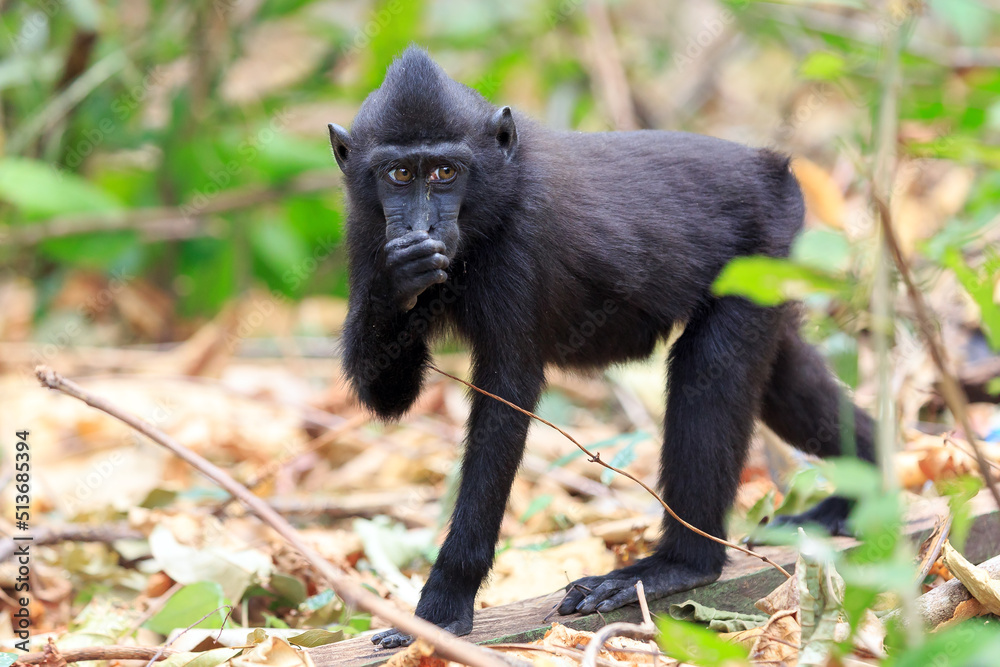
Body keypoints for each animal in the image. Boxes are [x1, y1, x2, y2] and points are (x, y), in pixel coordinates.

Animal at [327, 47, 875, 649]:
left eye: (446, 172)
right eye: (400, 174)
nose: (423, 227)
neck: (496, 193)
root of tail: (769, 166)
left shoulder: (525, 237)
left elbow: (507, 394)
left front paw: (443, 604)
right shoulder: (365, 231)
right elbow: (390, 398)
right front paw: (402, 276)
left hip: (768, 236)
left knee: (710, 366)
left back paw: (682, 564)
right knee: (782, 371)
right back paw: (872, 488)